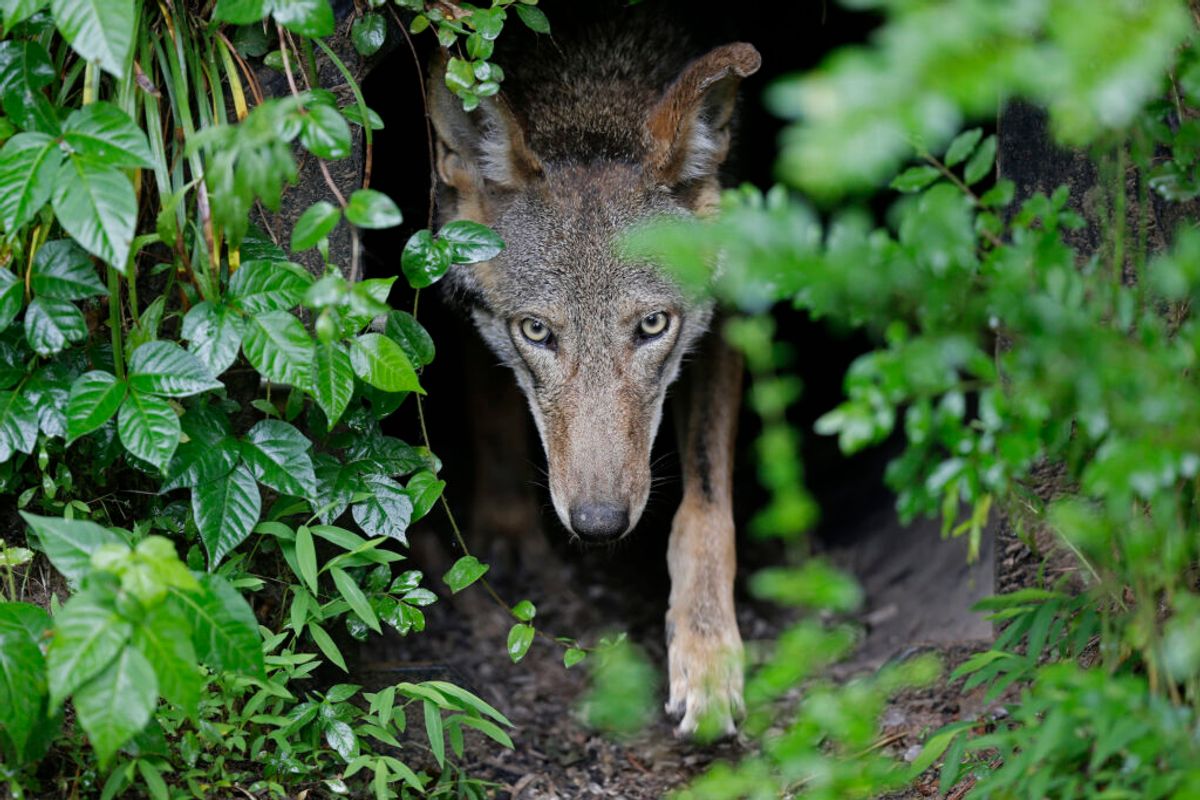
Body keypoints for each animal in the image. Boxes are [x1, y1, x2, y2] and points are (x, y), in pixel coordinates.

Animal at [427, 10, 760, 736]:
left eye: (653, 326)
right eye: (536, 332)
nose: (600, 525)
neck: (593, 77)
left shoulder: (729, 313)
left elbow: (706, 507)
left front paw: (707, 654)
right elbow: (492, 412)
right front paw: (508, 531)